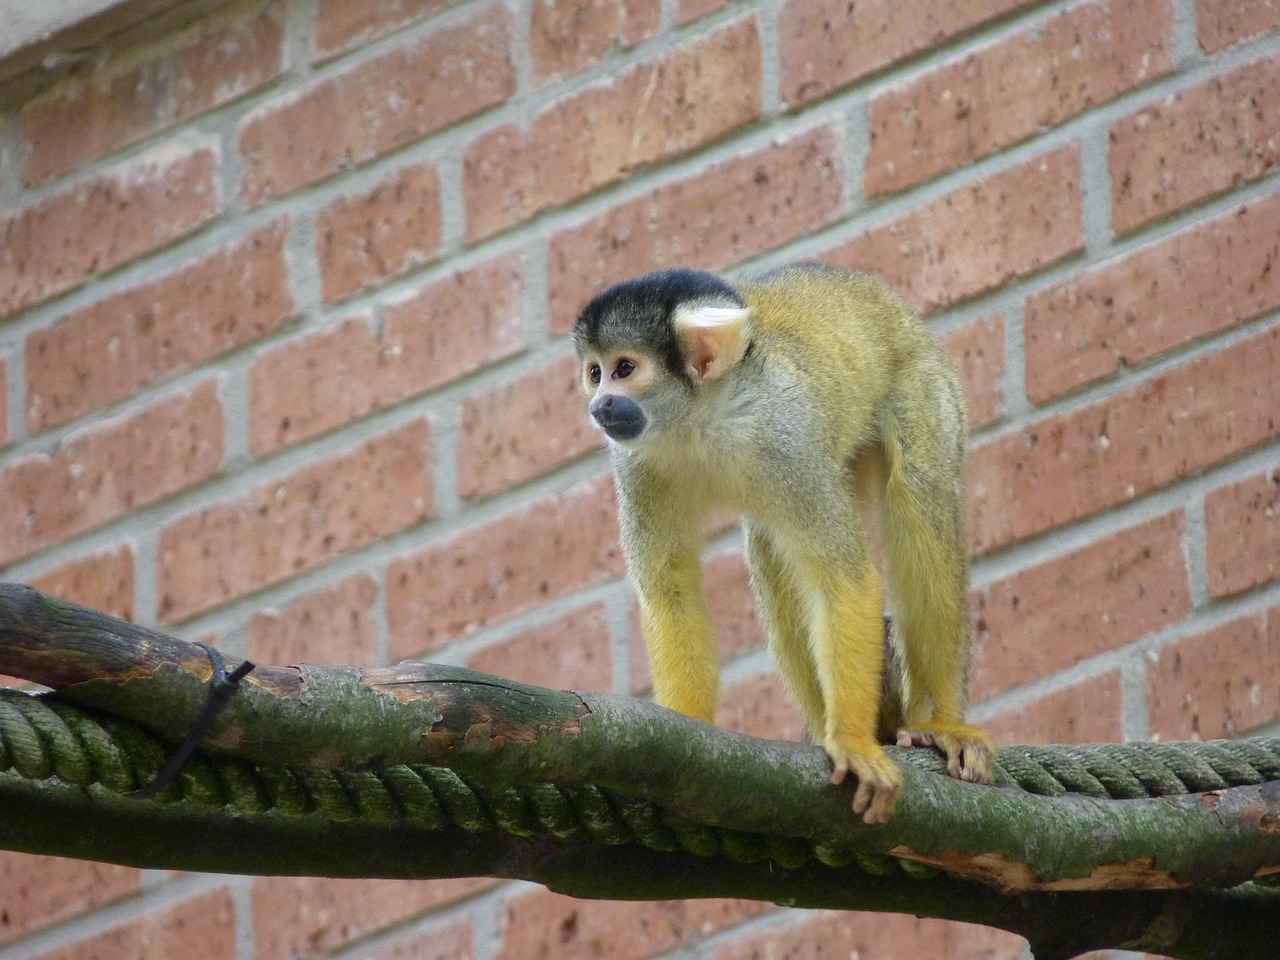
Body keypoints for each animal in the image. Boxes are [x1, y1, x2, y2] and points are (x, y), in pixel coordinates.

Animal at [572, 263, 994, 824]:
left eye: (624, 368)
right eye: (594, 372)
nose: (600, 404)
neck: (702, 417)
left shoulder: (783, 439)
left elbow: (844, 579)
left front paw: (853, 742)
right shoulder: (638, 463)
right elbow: (669, 590)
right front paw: (681, 733)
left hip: (924, 385)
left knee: (920, 494)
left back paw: (938, 724)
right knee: (770, 546)